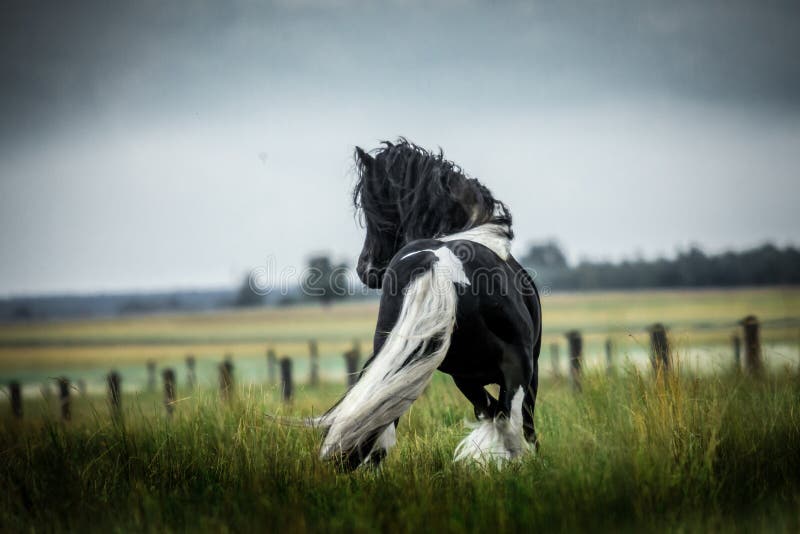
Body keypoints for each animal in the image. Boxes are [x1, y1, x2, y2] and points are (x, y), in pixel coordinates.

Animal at [313, 139, 542, 469]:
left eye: (368, 205)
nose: (365, 270)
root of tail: (437, 262)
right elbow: (501, 417)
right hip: (515, 369)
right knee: (514, 427)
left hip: (395, 357)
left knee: (377, 422)